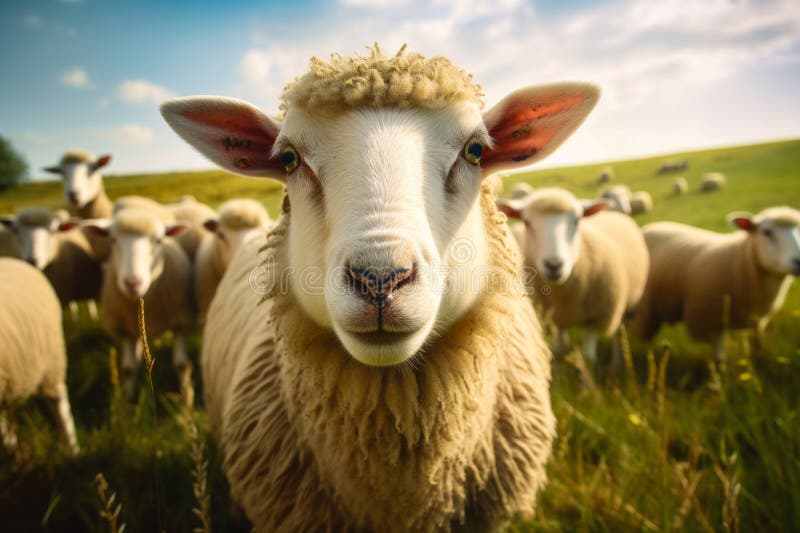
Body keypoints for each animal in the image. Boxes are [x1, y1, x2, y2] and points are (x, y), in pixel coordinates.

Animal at [85, 208, 194, 400]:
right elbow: (129, 369)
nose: (132, 283)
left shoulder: (180, 323)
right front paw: (129, 400)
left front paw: (185, 397)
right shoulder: (125, 330)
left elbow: (181, 364)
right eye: (112, 240)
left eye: (158, 240)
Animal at [497, 188, 649, 362]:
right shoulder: (556, 316)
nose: (554, 265)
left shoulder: (596, 318)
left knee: (619, 333)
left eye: (577, 220)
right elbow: (560, 346)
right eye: (527, 222)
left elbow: (588, 355)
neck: (563, 295)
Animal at [630, 206, 800, 362]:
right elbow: (718, 358)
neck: (740, 262)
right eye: (767, 232)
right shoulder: (710, 321)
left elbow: (755, 346)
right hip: (642, 309)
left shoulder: (755, 320)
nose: (798, 260)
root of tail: (649, 227)